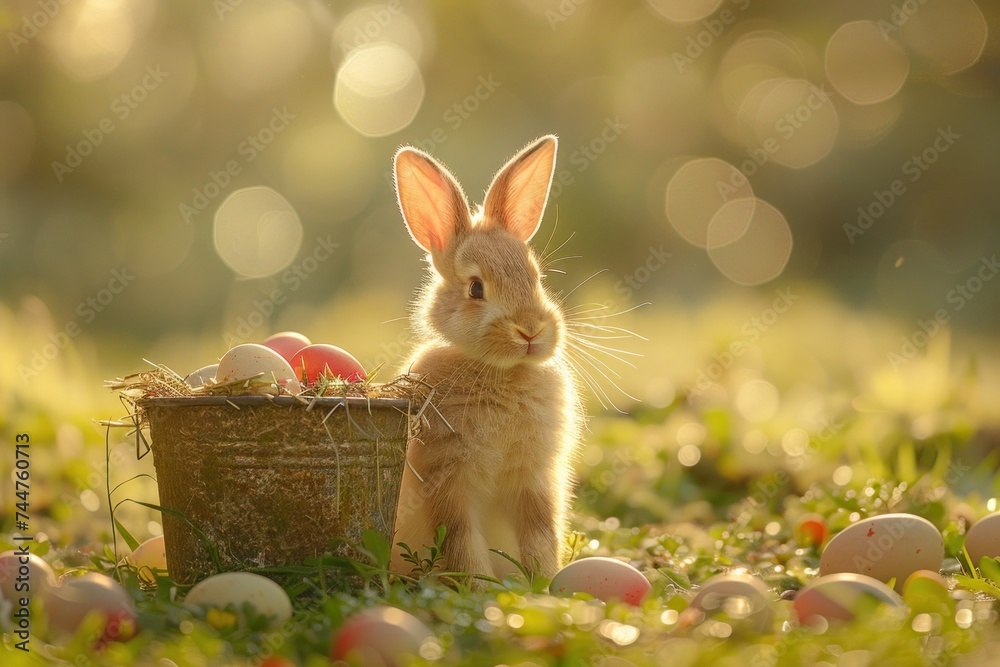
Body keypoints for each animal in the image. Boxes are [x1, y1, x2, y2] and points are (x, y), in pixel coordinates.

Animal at [389, 135, 582, 583]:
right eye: (476, 288)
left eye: (536, 278)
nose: (530, 330)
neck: (501, 373)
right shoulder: (447, 481)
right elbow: (461, 541)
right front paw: (479, 588)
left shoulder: (534, 482)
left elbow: (540, 533)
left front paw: (543, 583)